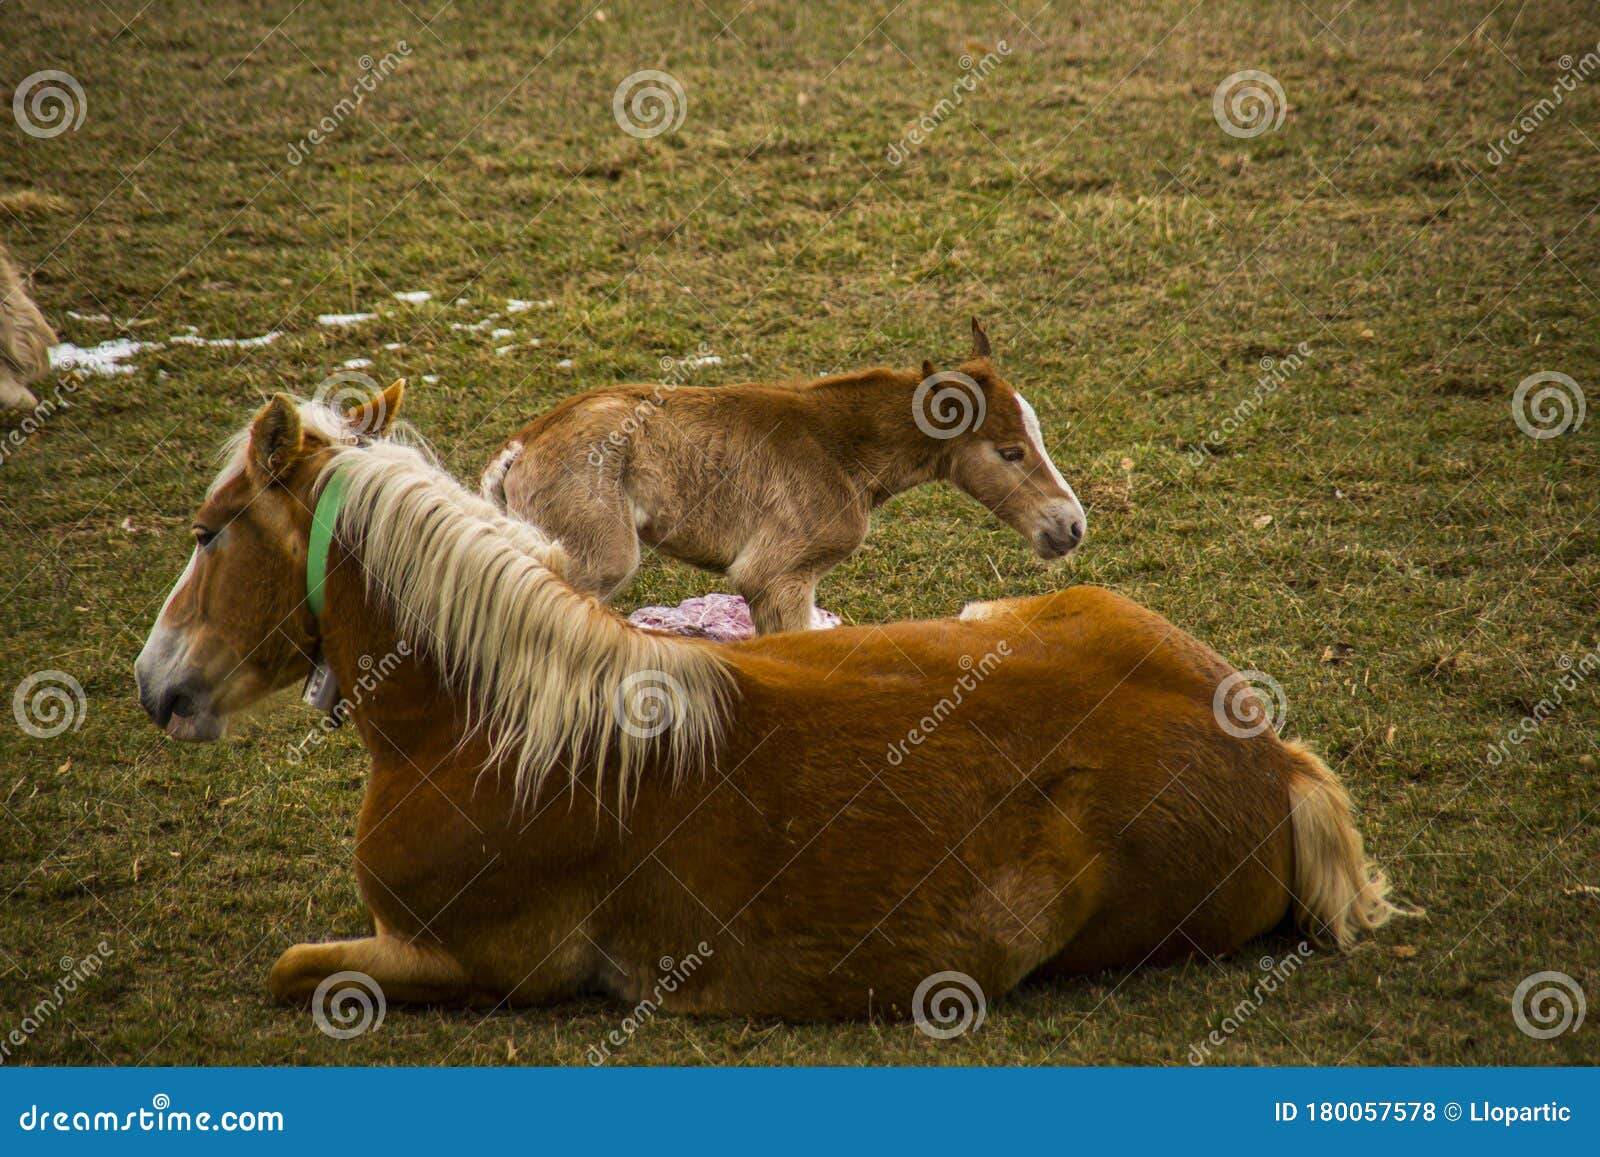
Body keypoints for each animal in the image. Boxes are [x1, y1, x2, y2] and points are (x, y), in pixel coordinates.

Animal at [135, 384, 1397, 1022]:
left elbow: (291, 966)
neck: (496, 726)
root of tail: (1271, 750)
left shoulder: (477, 960)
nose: (156, 684)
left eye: (208, 532)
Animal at [479, 319, 1088, 634]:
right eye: (1009, 452)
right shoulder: (778, 576)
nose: (1071, 525)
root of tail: (524, 443)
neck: (839, 447)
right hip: (598, 562)